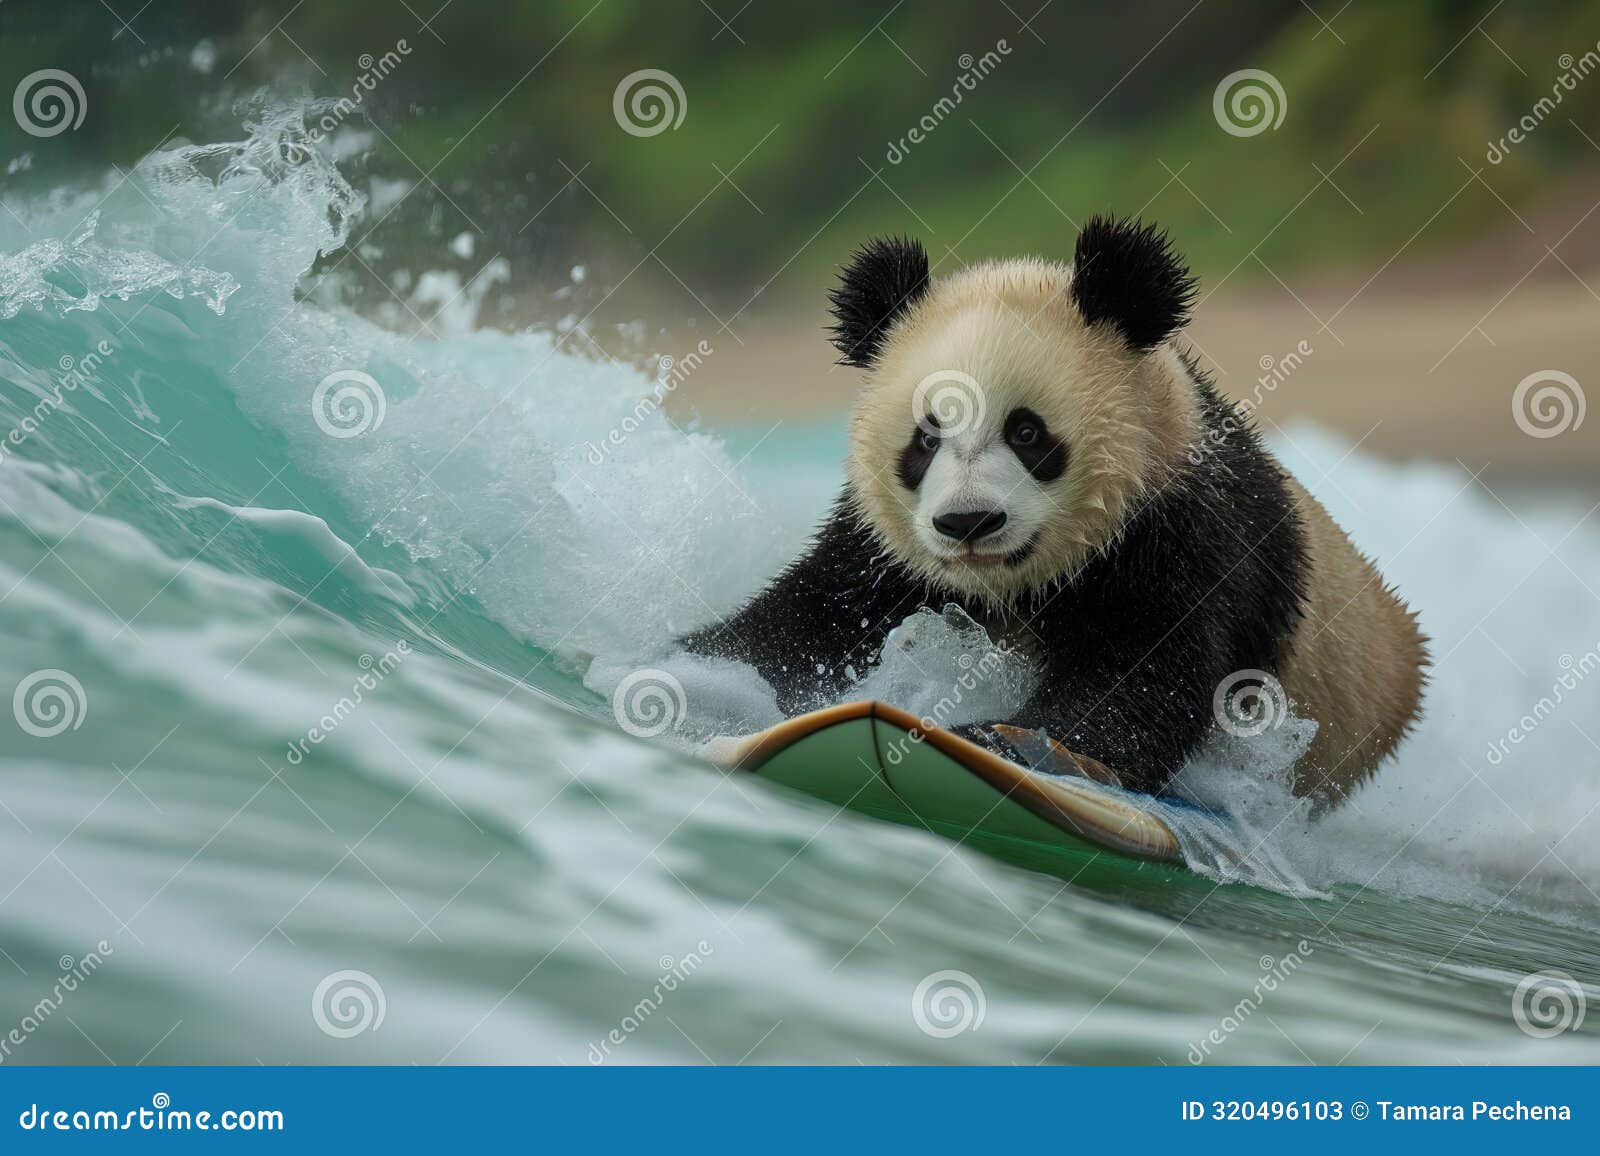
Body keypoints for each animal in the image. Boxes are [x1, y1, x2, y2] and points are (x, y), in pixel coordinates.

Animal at [683, 215, 1427, 803]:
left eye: (1027, 433)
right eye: (926, 438)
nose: (969, 523)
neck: (1012, 586)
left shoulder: (1184, 528)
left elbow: (1140, 682)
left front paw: (997, 739)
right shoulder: (884, 553)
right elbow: (809, 615)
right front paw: (699, 671)